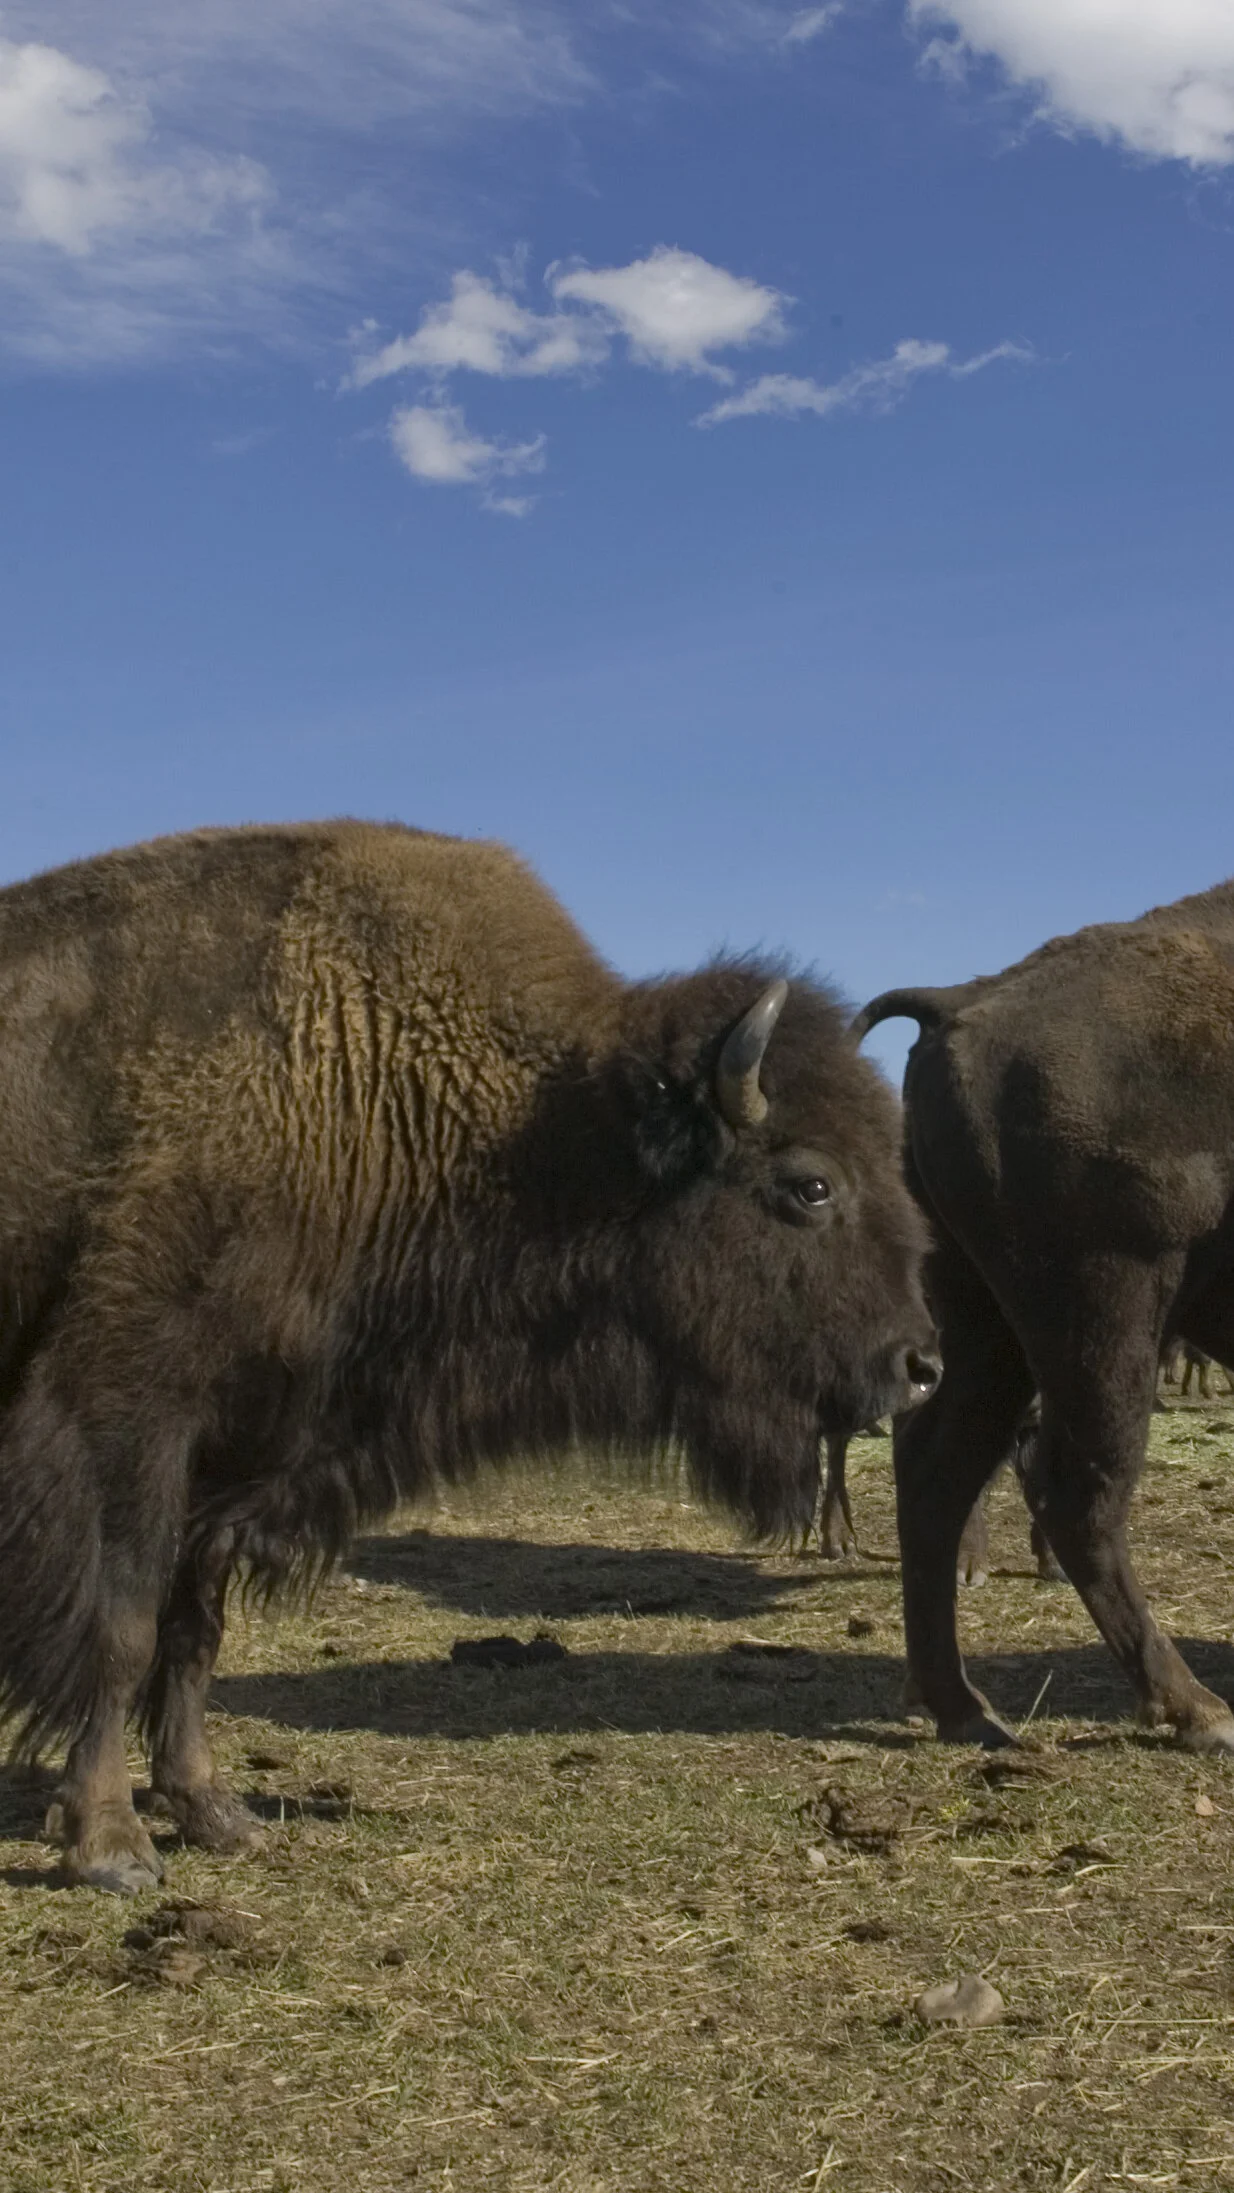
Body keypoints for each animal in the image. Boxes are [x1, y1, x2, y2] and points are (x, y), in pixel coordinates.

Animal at [0, 821, 938, 1892]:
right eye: (810, 1183)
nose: (920, 1363)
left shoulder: (247, 1449)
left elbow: (194, 1628)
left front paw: (214, 1812)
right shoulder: (128, 1416)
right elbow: (121, 1622)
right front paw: (110, 1843)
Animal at [857, 880, 1234, 1752]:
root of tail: (964, 998)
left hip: (984, 1323)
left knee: (937, 1470)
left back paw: (965, 1708)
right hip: (1107, 1307)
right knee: (1075, 1491)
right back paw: (1195, 1710)